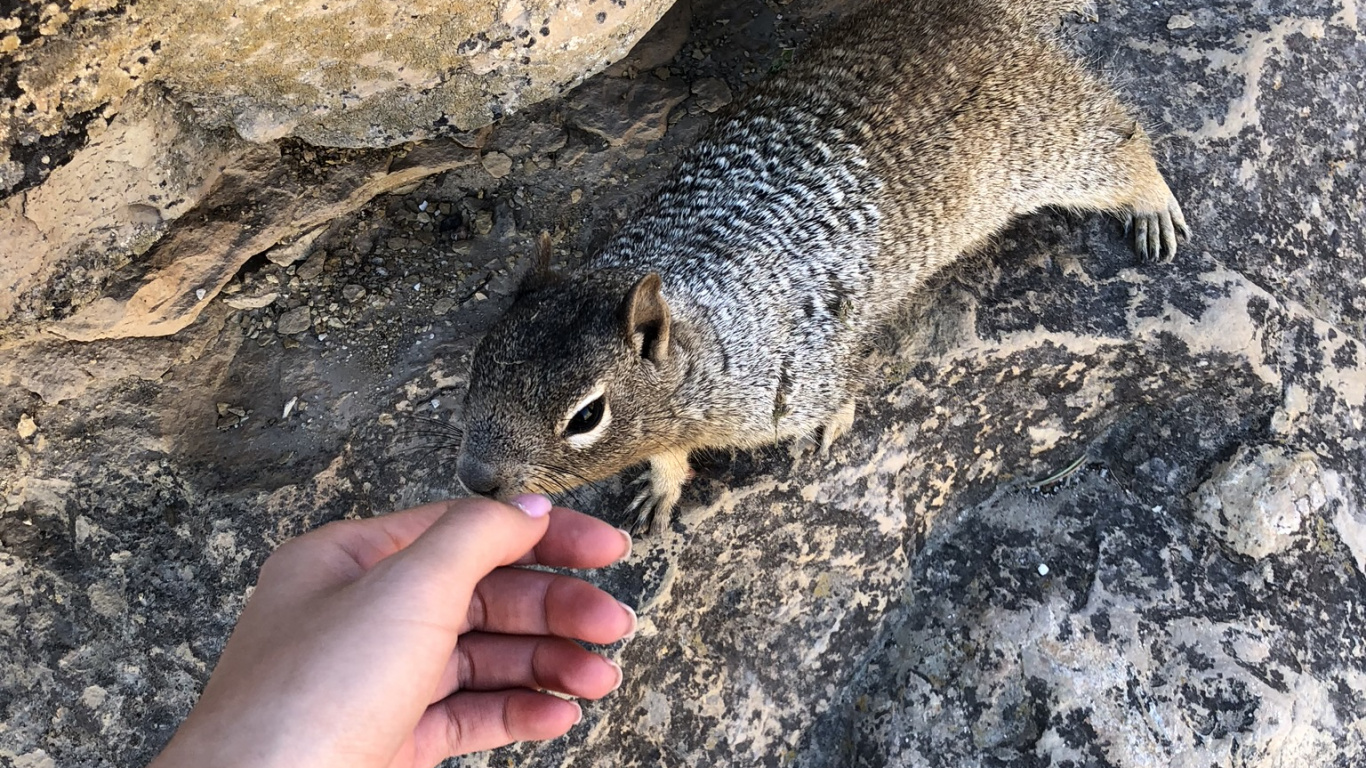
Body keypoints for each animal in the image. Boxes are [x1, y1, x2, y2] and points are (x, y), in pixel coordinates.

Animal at [453, 0, 1191, 530]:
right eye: (475, 371)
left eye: (585, 417)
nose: (473, 480)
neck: (704, 327)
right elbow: (667, 455)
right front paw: (661, 488)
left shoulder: (795, 375)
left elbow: (839, 393)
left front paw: (827, 429)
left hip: (1047, 143)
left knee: (1119, 142)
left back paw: (1153, 204)